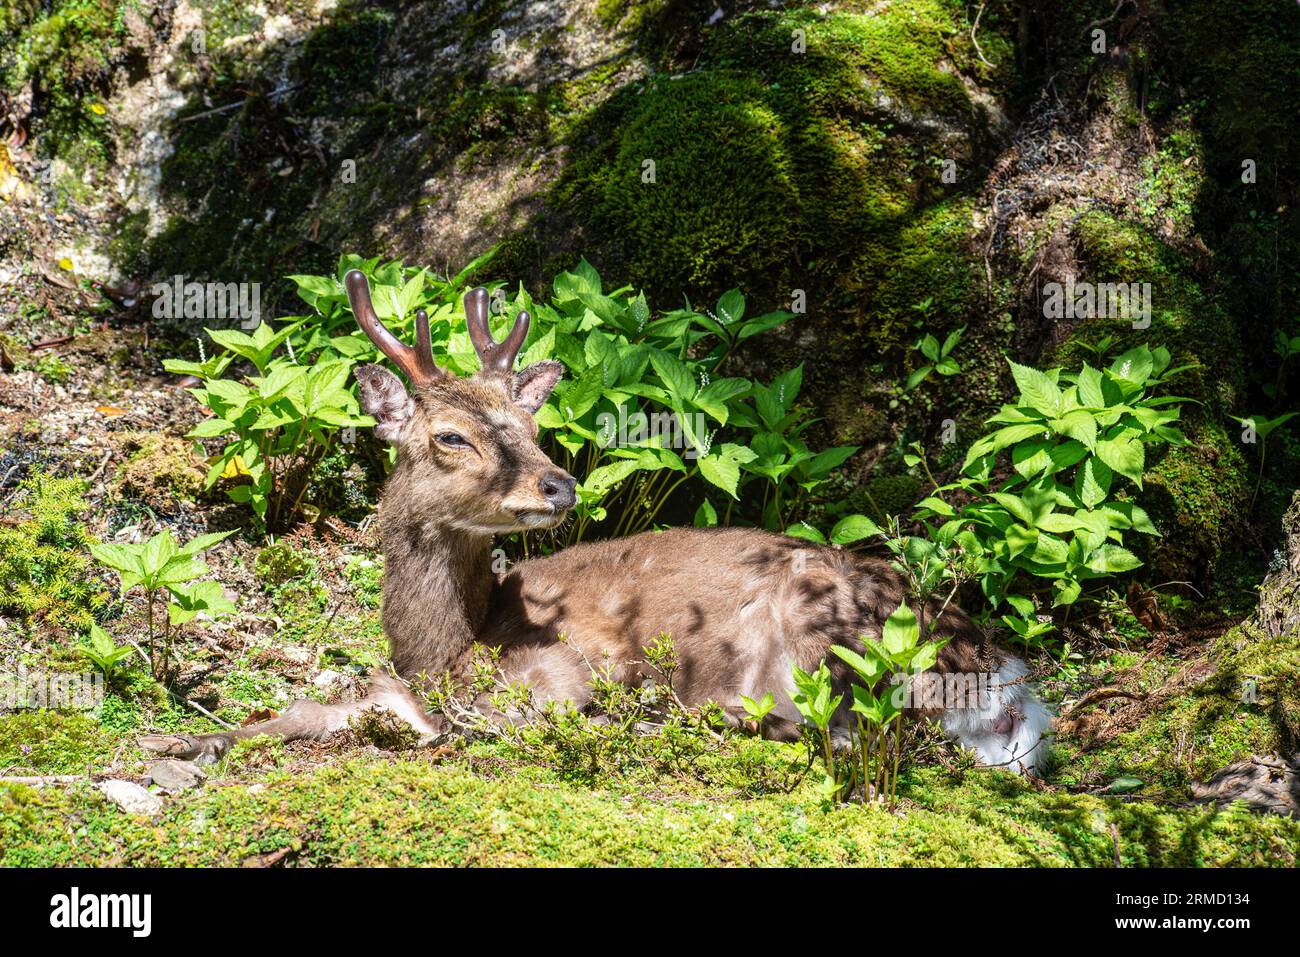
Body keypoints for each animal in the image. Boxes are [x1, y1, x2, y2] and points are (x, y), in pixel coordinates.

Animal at [142, 271, 1051, 774]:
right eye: (451, 435)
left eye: (532, 422)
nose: (559, 483)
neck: (447, 646)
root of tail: (1002, 676)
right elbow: (318, 703)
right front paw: (178, 740)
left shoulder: (561, 673)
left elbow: (448, 719)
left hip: (824, 633)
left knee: (847, 737)